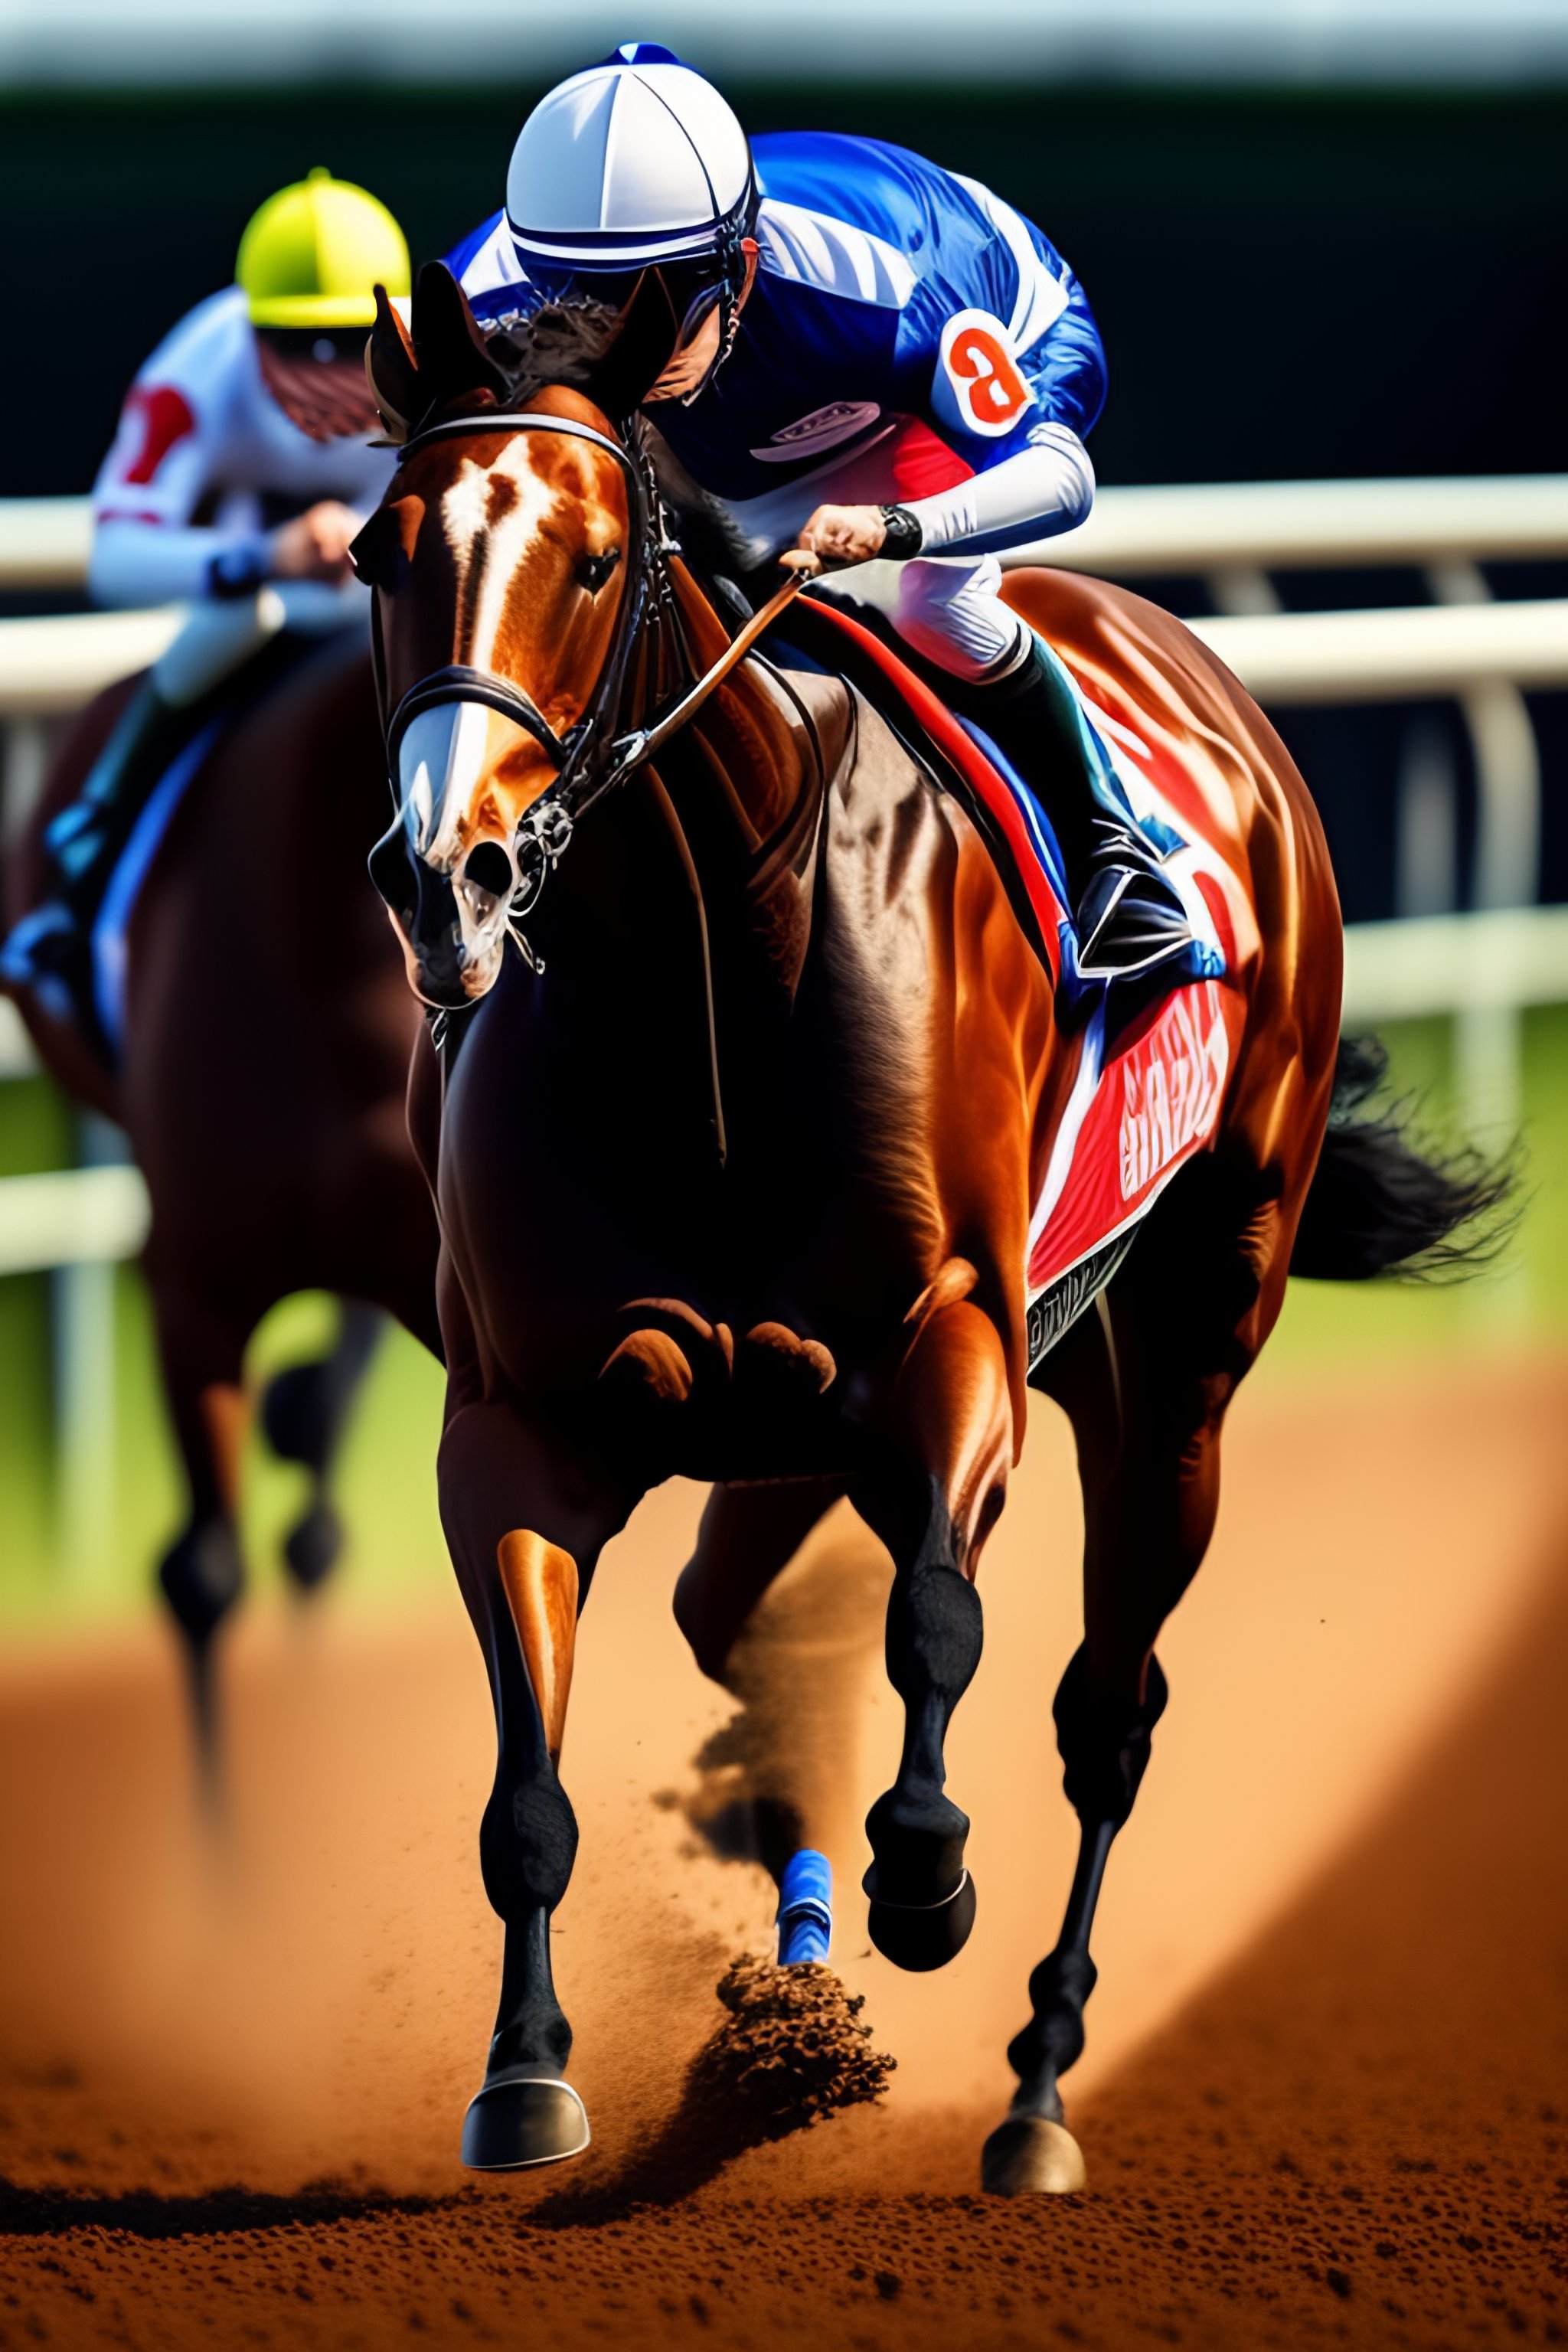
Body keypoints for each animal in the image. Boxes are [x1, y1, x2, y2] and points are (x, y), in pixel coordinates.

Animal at [358, 268, 1504, 2192]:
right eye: (381, 549)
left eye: (592, 561)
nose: (452, 875)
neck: (708, 973)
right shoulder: (523, 1418)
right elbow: (531, 1763)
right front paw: (525, 2069)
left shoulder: (954, 1345)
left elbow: (939, 1628)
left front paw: (921, 1876)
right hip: (781, 1431)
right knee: (731, 1614)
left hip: (1176, 1348)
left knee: (1106, 1706)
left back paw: (1034, 2083)